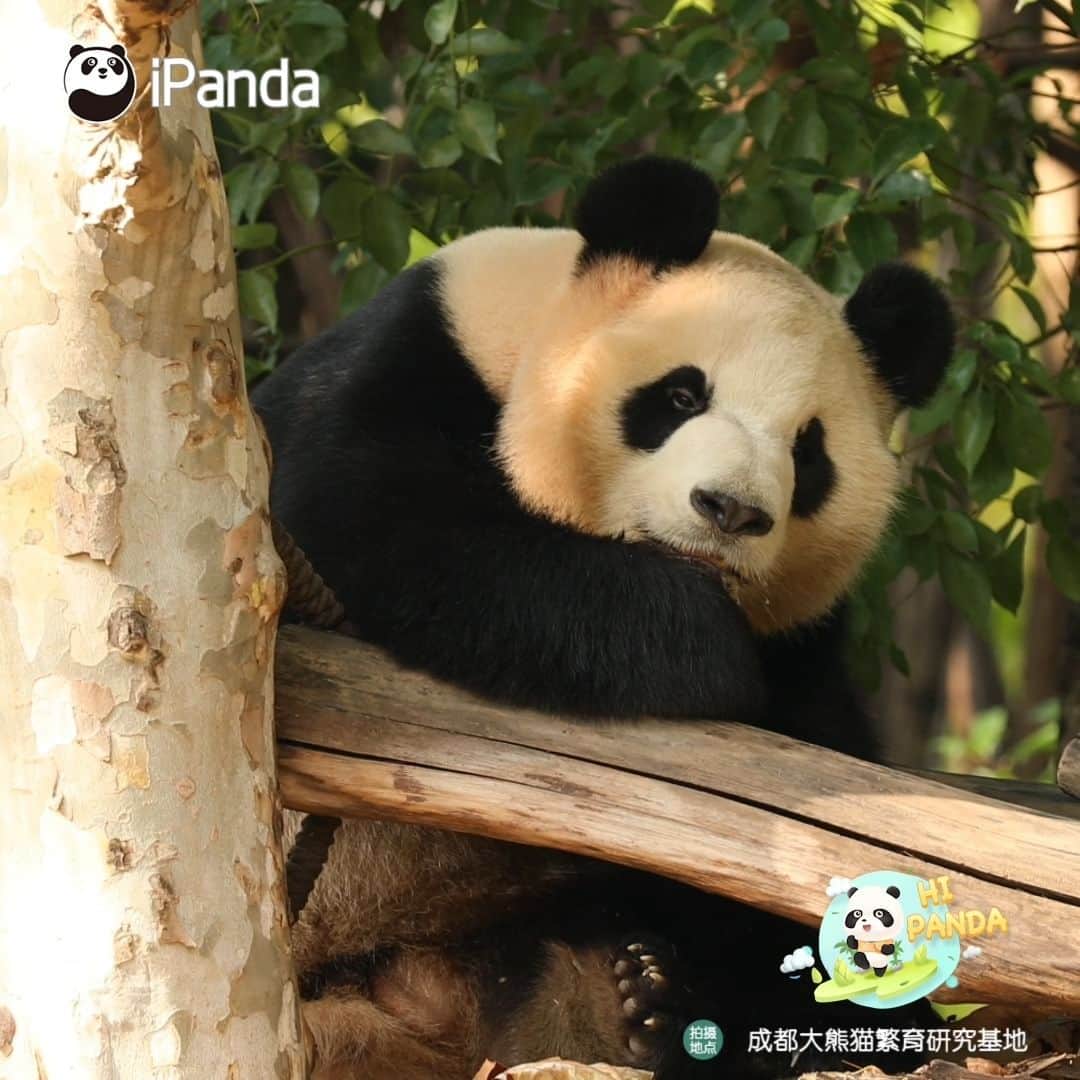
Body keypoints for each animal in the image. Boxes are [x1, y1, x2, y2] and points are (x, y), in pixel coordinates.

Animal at [252, 157, 953, 1079]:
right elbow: (391, 528)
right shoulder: (400, 370)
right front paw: (701, 647)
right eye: (681, 395)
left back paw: (619, 1006)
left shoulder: (810, 643)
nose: (730, 510)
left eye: (810, 451)